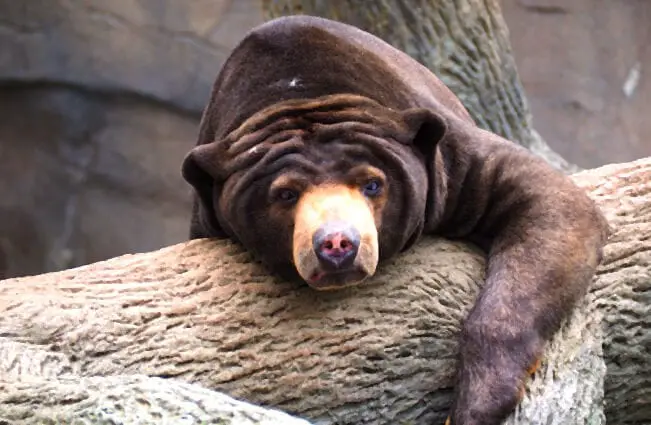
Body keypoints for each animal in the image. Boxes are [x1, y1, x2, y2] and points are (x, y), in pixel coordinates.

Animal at [181, 15, 609, 425]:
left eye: (372, 184)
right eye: (286, 194)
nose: (337, 244)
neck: (300, 91)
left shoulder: (450, 160)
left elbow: (553, 201)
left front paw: (474, 405)